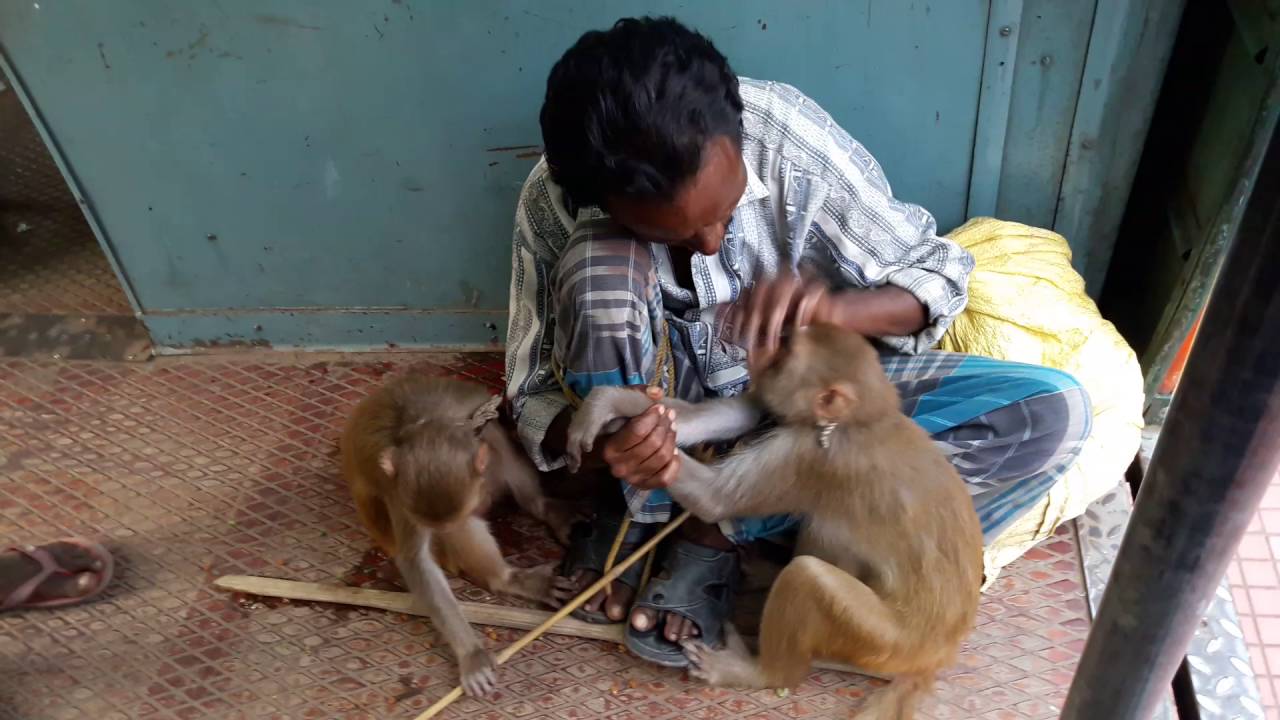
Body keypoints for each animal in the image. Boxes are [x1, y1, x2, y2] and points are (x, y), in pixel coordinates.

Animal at [340, 374, 577, 698]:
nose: (483, 501)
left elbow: (493, 433)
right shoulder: (400, 494)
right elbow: (416, 561)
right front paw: (471, 654)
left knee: (496, 441)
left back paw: (540, 509)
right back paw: (507, 579)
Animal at [565, 325, 983, 719]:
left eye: (785, 355)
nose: (761, 360)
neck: (860, 418)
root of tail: (937, 655)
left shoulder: (808, 456)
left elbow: (715, 499)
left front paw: (646, 447)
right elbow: (742, 413)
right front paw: (611, 404)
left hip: (885, 641)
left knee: (806, 577)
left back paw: (762, 673)